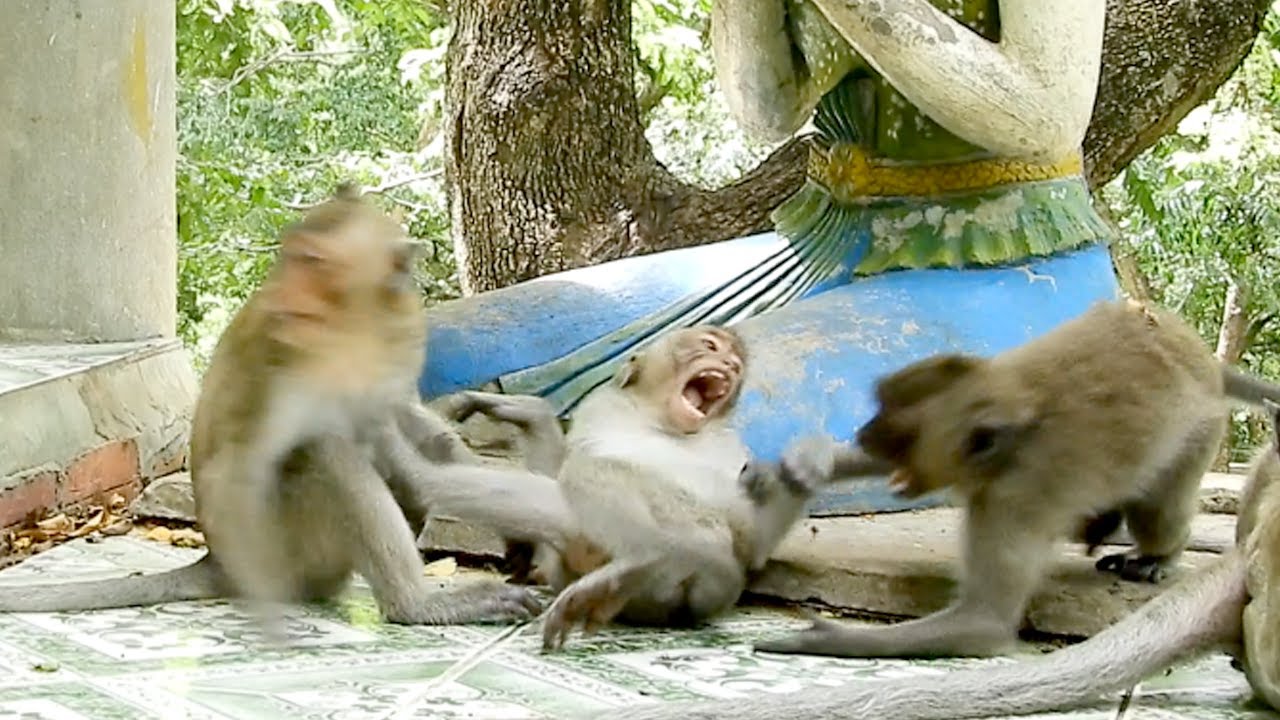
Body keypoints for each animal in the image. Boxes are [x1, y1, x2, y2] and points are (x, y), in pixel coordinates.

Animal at [0, 186, 539, 630]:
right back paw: (414, 604)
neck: (356, 322)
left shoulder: (401, 336)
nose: (283, 290)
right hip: (289, 549)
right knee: (327, 452)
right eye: (293, 252)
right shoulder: (284, 360)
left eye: (314, 261)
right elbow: (255, 459)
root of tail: (219, 560)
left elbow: (411, 421)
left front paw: (520, 530)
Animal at [372, 325, 893, 650]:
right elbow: (565, 466)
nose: (728, 362)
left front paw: (810, 462)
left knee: (603, 485)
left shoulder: (732, 450)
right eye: (708, 345)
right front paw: (524, 410)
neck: (660, 422)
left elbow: (752, 537)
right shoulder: (600, 408)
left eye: (734, 361)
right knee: (576, 486)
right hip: (573, 565)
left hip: (709, 585)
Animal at [740, 299, 1280, 661]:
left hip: (1199, 430)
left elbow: (985, 624)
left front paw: (823, 638)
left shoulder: (1014, 497)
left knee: (1158, 508)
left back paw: (1158, 554)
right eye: (881, 405)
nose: (866, 433)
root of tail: (1205, 362)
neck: (1016, 420)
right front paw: (809, 461)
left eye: (901, 434)